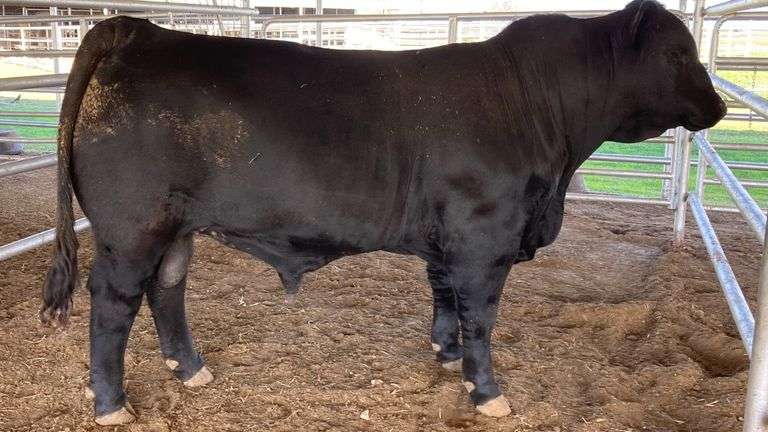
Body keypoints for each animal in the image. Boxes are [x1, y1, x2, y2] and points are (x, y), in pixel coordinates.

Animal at [39, 0, 725, 425]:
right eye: (677, 53)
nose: (719, 107)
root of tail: (140, 30)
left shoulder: (447, 235)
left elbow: (445, 296)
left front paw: (445, 355)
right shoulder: (485, 234)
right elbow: (481, 315)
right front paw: (487, 392)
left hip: (175, 226)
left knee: (168, 289)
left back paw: (191, 372)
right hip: (130, 228)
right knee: (113, 304)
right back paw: (111, 404)